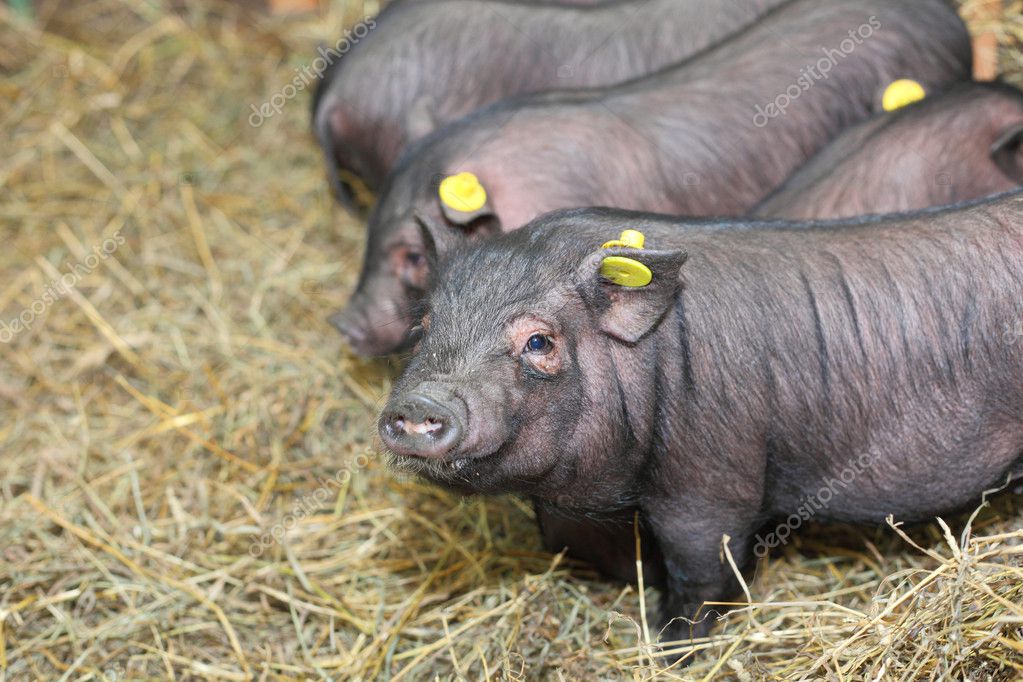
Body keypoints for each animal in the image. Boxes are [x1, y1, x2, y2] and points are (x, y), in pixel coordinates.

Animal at [378, 188, 1023, 657]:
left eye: (539, 342)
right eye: (423, 324)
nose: (419, 405)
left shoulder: (710, 480)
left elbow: (701, 571)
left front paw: (666, 645)